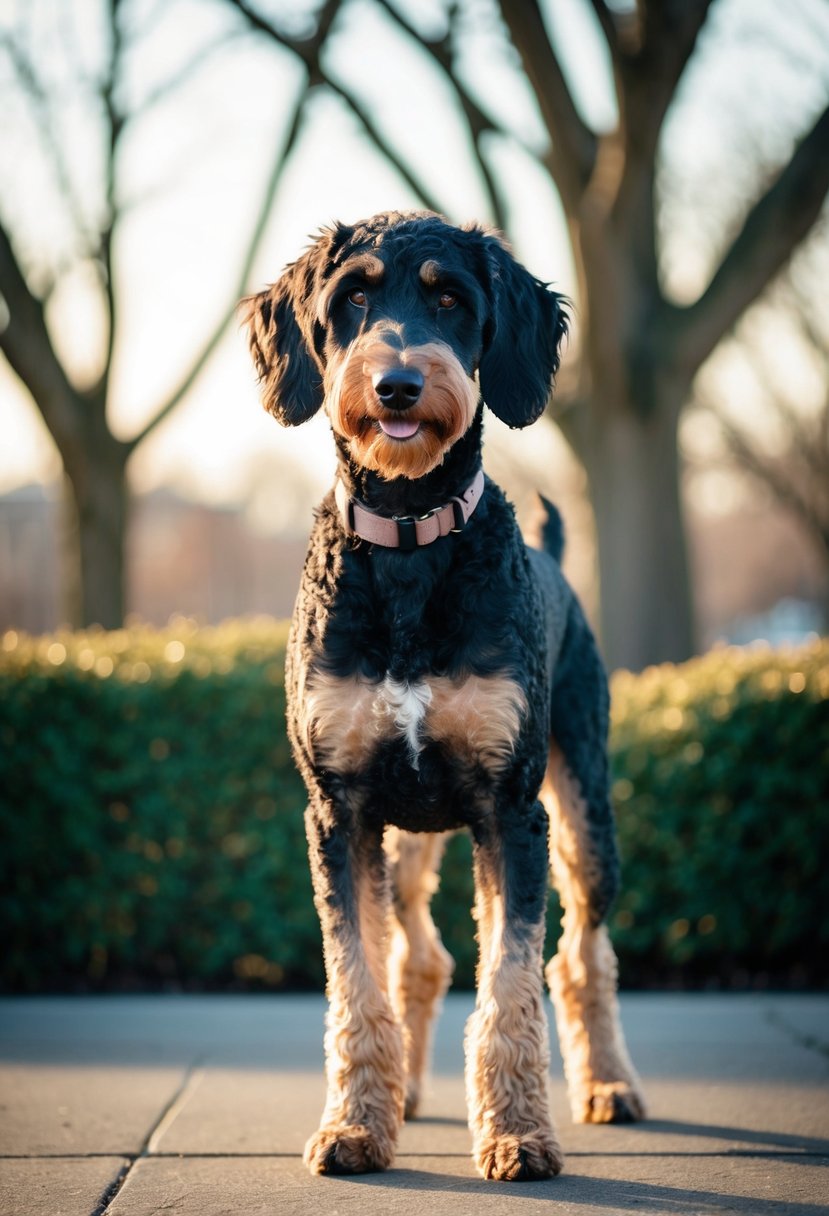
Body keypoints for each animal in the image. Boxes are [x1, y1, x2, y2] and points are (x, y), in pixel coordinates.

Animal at [241, 209, 641, 1177]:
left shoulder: (512, 813)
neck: (410, 543)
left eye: (451, 298)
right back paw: (403, 1094)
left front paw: (519, 1132)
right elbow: (356, 981)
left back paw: (608, 1085)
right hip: (408, 841)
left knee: (584, 956)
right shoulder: (340, 814)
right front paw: (354, 1123)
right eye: (353, 297)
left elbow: (513, 984)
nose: (396, 385)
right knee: (416, 959)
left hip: (582, 811)